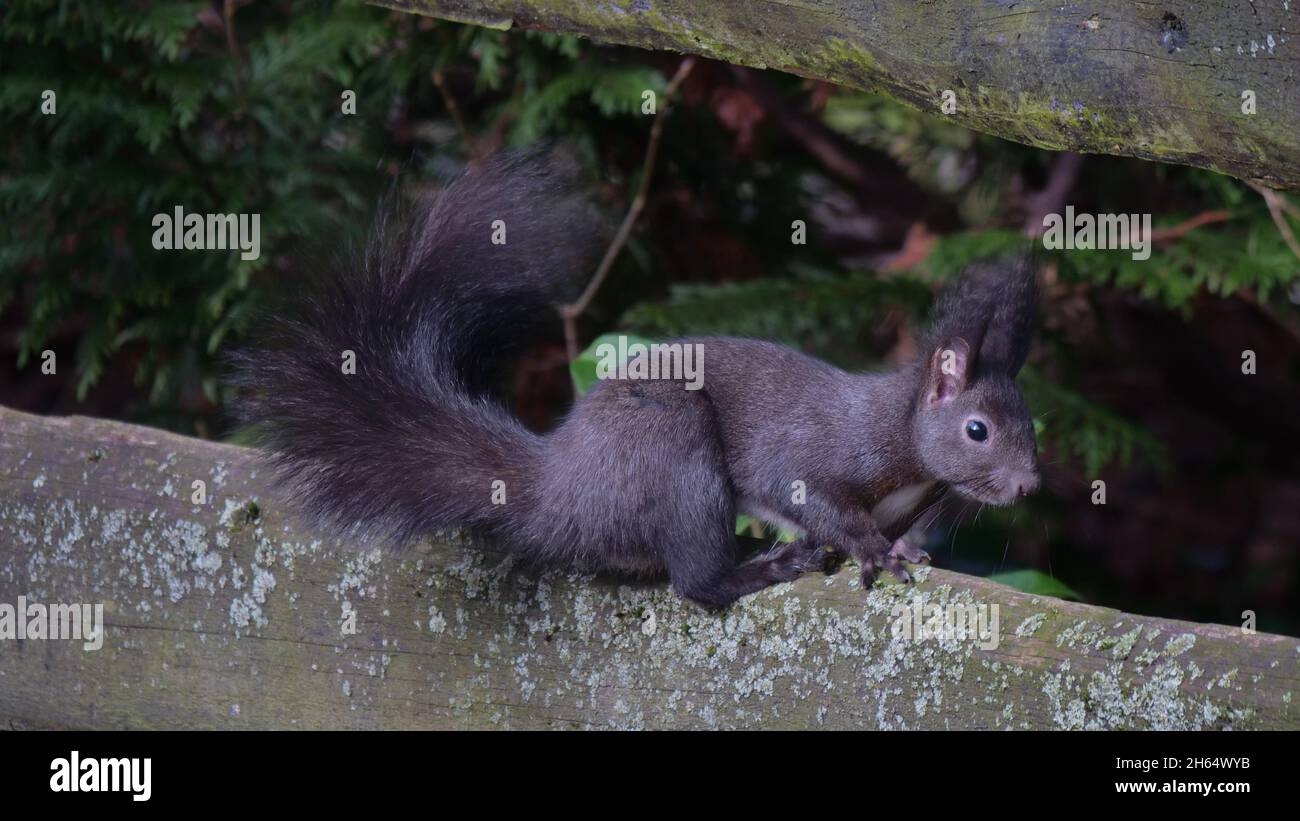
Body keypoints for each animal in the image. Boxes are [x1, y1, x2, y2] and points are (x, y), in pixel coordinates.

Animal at [233, 151, 1041, 610]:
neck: (902, 438)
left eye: (1032, 424)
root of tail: (559, 489)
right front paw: (874, 551)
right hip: (671, 449)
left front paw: (906, 549)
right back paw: (767, 565)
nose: (1029, 486)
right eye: (977, 429)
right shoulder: (819, 451)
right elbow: (809, 494)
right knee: (698, 584)